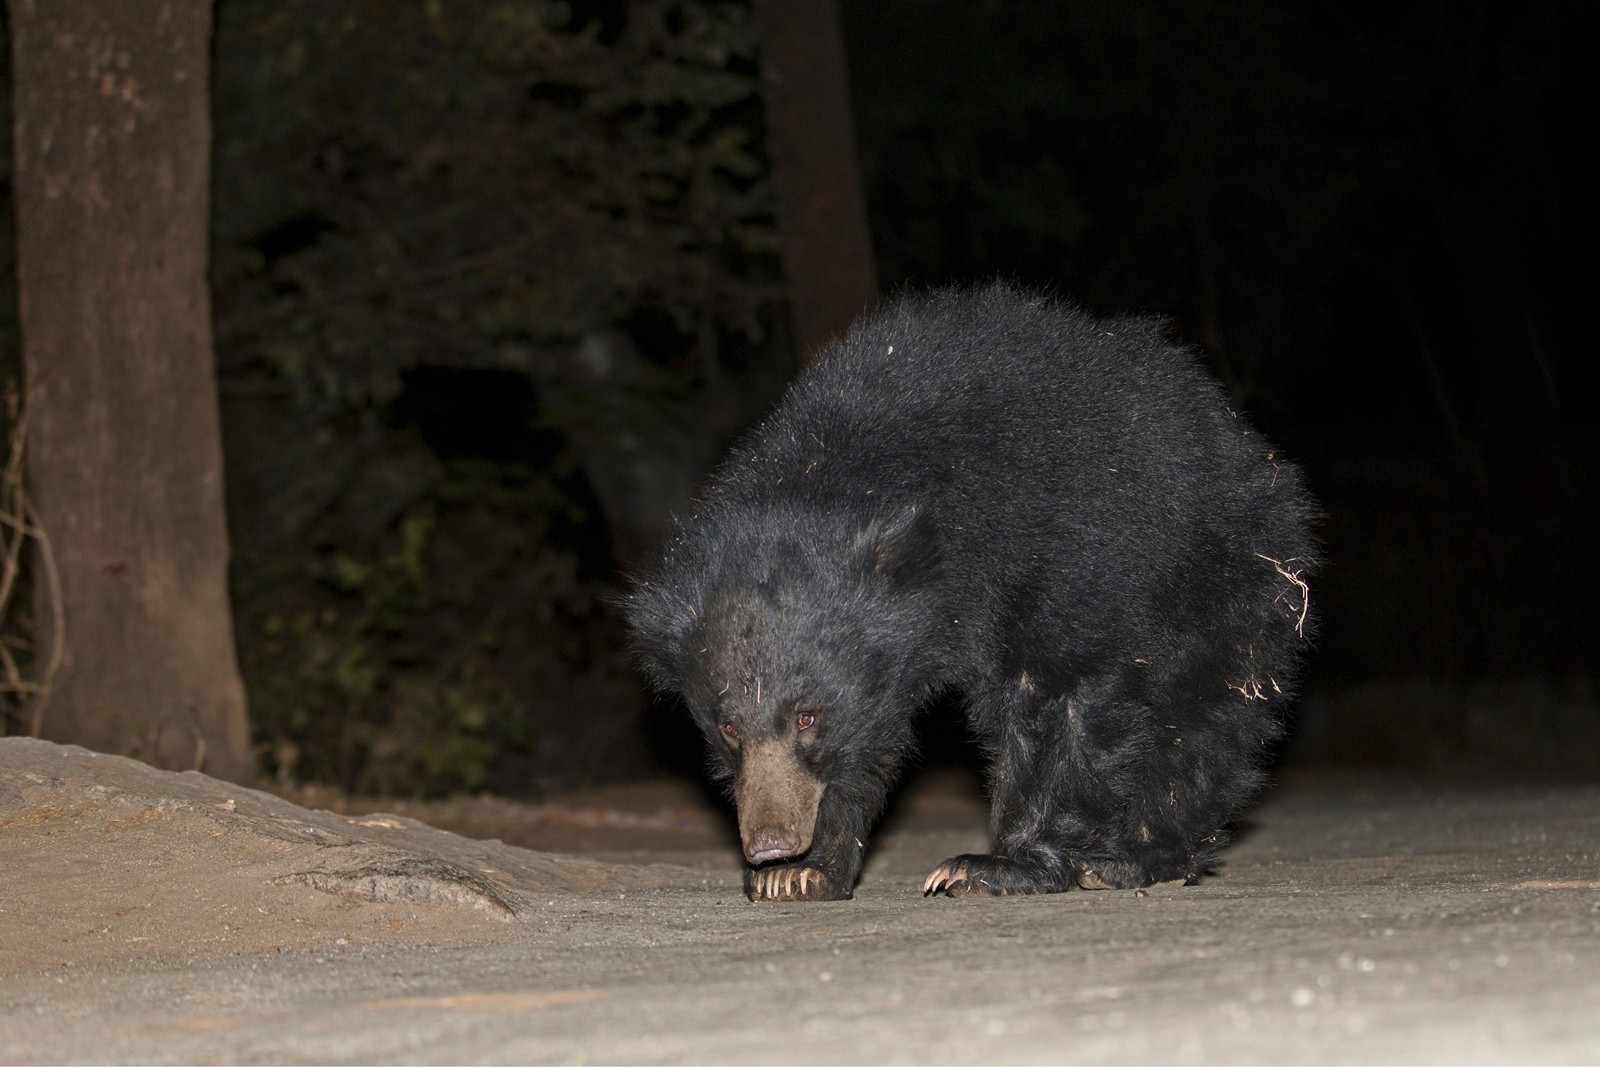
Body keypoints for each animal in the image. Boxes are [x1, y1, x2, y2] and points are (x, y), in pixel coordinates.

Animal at [625, 282, 1317, 902]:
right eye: (727, 727)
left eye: (807, 717)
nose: (770, 842)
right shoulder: (885, 662)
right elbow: (867, 742)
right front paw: (803, 875)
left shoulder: (1067, 555)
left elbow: (1061, 702)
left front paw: (993, 866)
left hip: (1222, 584)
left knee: (1202, 724)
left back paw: (1136, 858)